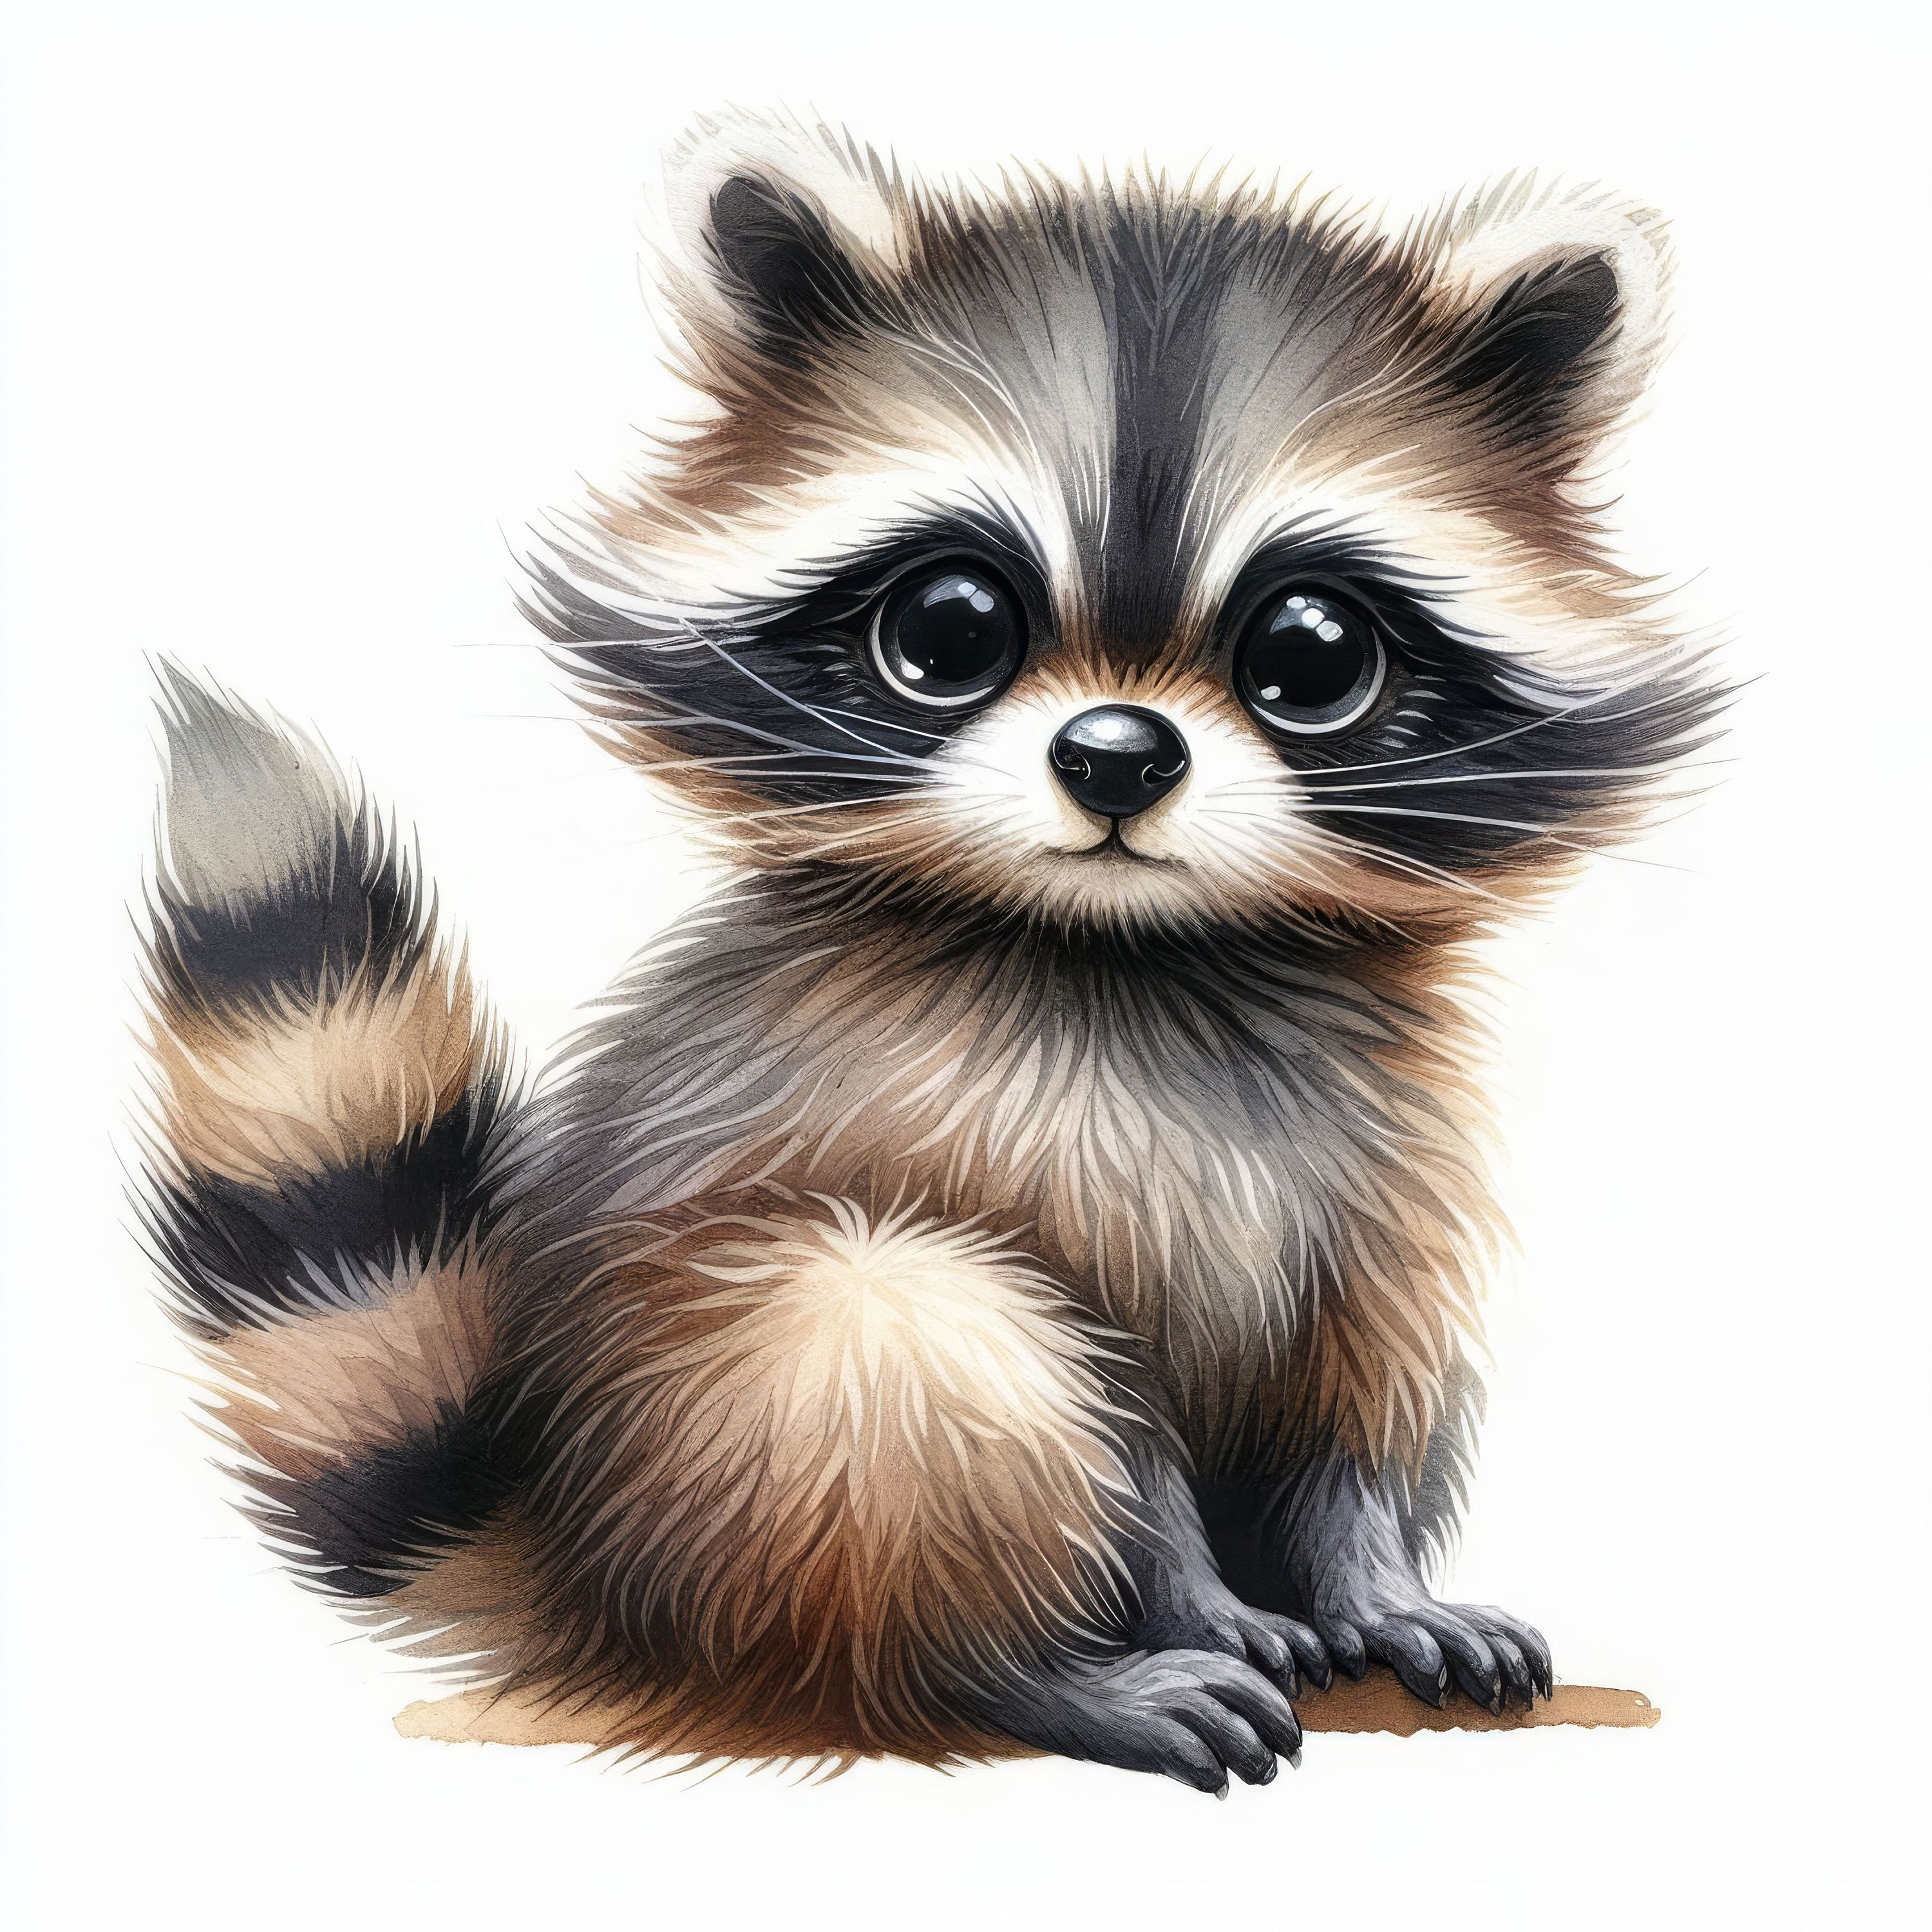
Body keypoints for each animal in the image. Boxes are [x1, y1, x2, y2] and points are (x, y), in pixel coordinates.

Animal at [138, 109, 1720, 1792]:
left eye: (1309, 656)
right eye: (950, 630)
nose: (1116, 757)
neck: (1140, 948)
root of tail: (594, 1560)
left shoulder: (1391, 1162)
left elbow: (1359, 1388)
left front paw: (1372, 1574)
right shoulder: (919, 1110)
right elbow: (1105, 1404)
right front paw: (1190, 1590)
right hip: (727, 1433)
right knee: (908, 1339)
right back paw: (1034, 1666)